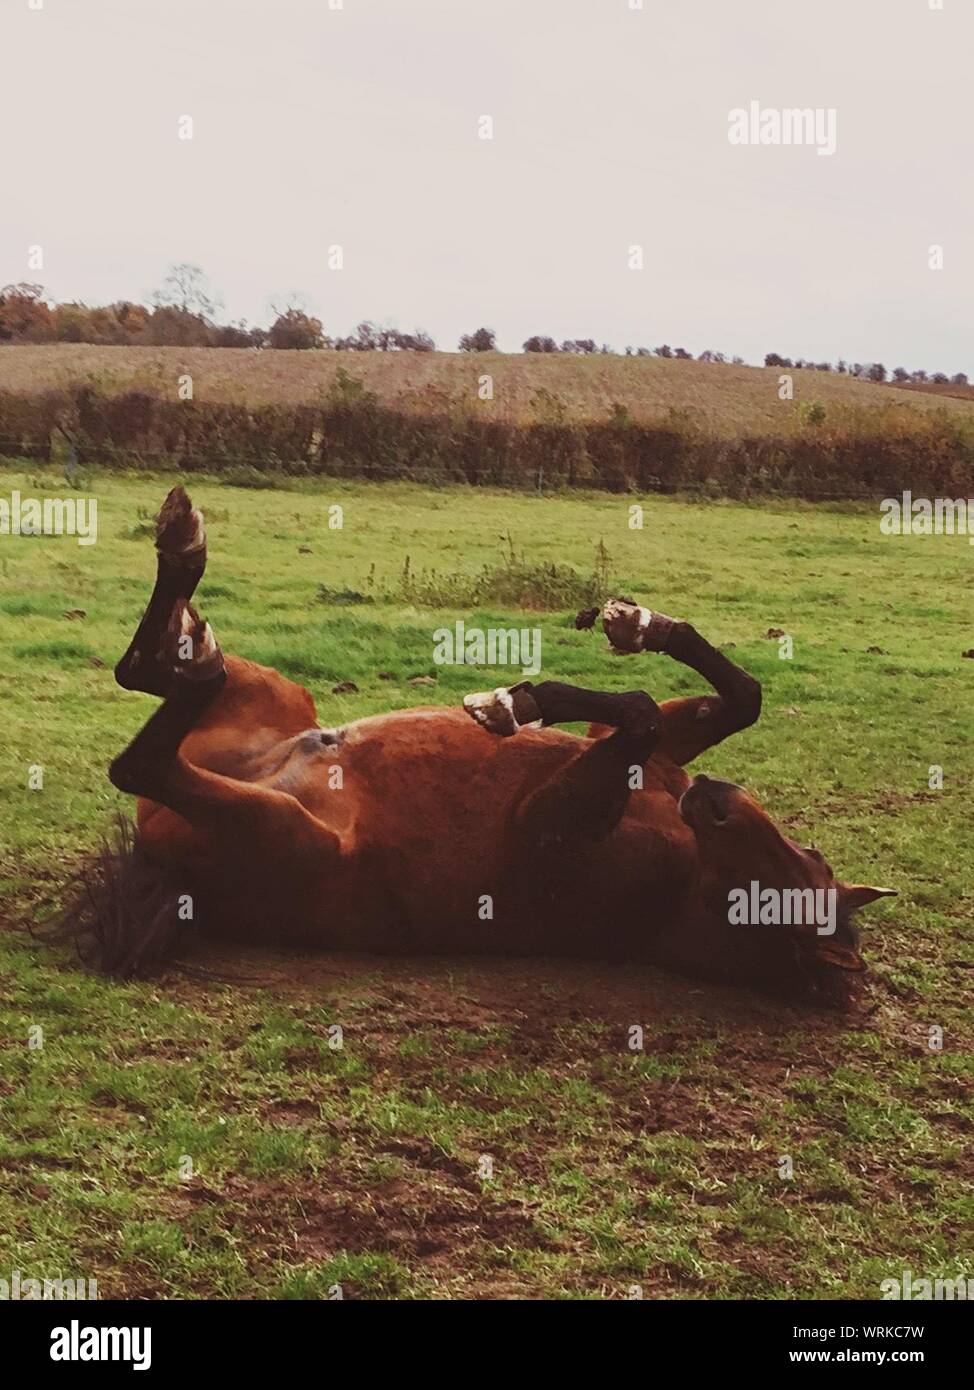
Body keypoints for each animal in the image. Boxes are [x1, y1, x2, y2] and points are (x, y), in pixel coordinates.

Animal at [97, 486, 894, 999]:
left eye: (770, 895)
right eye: (808, 852)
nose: (715, 798)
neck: (685, 867)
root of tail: (164, 871)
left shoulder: (547, 826)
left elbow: (640, 712)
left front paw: (513, 703)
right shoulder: (648, 753)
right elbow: (730, 698)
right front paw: (636, 626)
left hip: (285, 829)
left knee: (140, 757)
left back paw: (187, 592)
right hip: (281, 698)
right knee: (144, 673)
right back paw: (184, 571)